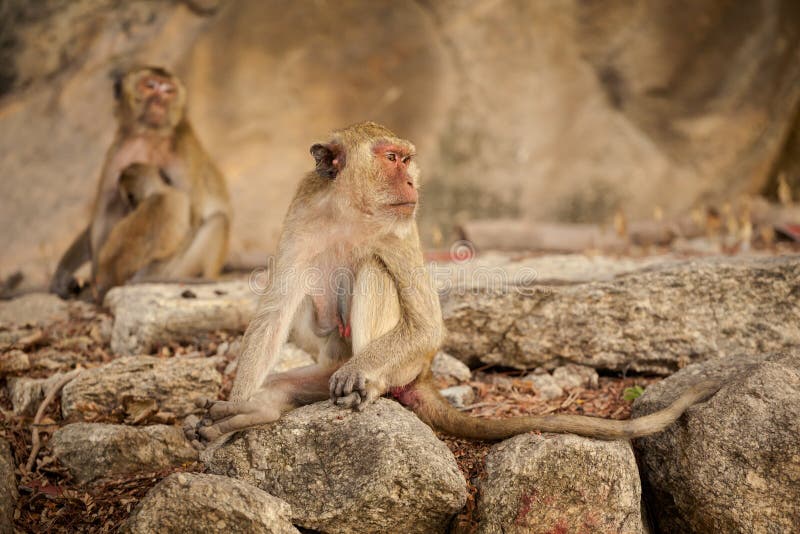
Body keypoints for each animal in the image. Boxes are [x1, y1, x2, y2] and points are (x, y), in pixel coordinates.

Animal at [49, 66, 230, 301]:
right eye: (150, 86)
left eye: (168, 91)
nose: (159, 102)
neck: (149, 136)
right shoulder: (118, 152)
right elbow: (102, 216)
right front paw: (65, 277)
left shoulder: (183, 155)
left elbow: (193, 221)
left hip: (181, 268)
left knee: (218, 222)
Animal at [186, 121, 720, 446]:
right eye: (392, 158)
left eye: (406, 159)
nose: (411, 183)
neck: (348, 212)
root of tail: (421, 375)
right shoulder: (302, 211)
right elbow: (274, 311)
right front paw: (235, 414)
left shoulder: (400, 229)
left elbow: (426, 325)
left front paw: (360, 375)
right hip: (321, 369)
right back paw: (261, 409)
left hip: (402, 365)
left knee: (374, 274)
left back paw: (369, 384)